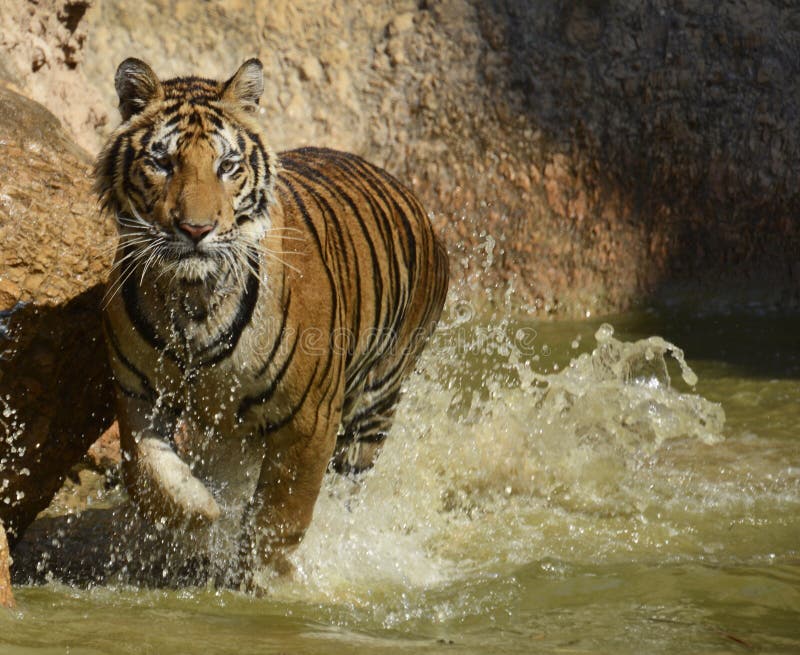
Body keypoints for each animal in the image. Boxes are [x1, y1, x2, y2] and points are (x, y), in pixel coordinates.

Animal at [93, 57, 448, 583]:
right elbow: (149, 475)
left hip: (375, 404)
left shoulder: (310, 418)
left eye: (226, 166)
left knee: (347, 490)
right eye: (162, 163)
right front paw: (204, 513)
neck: (193, 299)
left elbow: (281, 517)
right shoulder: (137, 393)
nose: (196, 229)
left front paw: (264, 582)